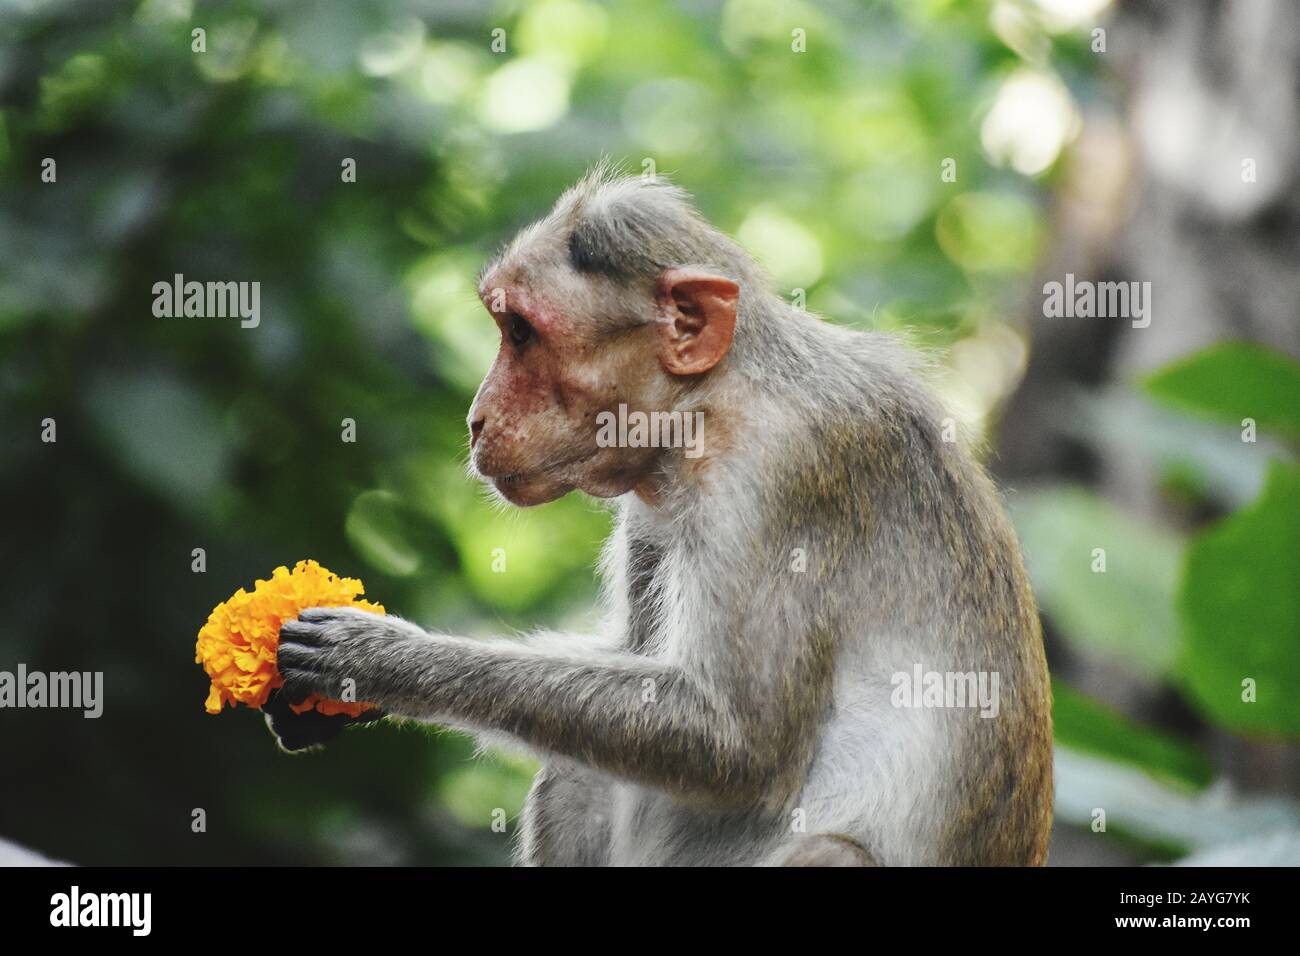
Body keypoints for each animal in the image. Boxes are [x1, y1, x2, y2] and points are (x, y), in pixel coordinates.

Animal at [272, 165, 1054, 866]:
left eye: (521, 333)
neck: (711, 401)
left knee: (829, 852)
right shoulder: (649, 500)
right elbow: (634, 667)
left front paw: (381, 660)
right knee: (578, 767)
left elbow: (739, 740)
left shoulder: (776, 473)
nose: (475, 420)